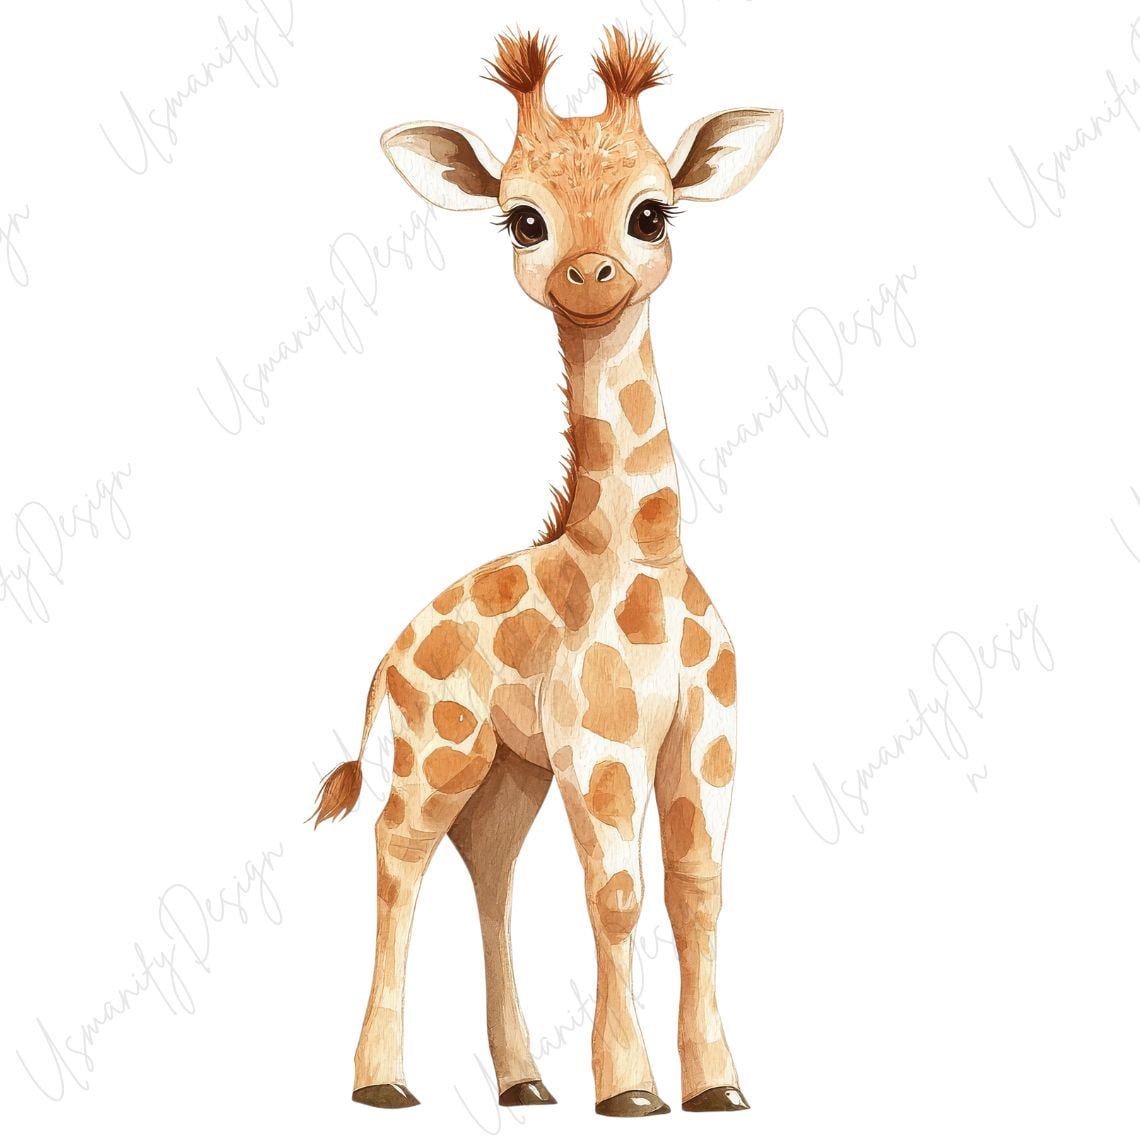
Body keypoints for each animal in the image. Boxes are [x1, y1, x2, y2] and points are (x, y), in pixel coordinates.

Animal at [313, 27, 782, 1117]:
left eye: (652, 209)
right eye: (523, 218)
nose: (588, 272)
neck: (640, 555)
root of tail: (385, 660)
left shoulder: (705, 735)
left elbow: (699, 889)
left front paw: (719, 1086)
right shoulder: (600, 742)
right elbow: (619, 893)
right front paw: (633, 1091)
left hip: (509, 770)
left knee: (487, 866)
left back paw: (524, 1081)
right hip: (438, 748)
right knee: (398, 852)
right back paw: (382, 1082)